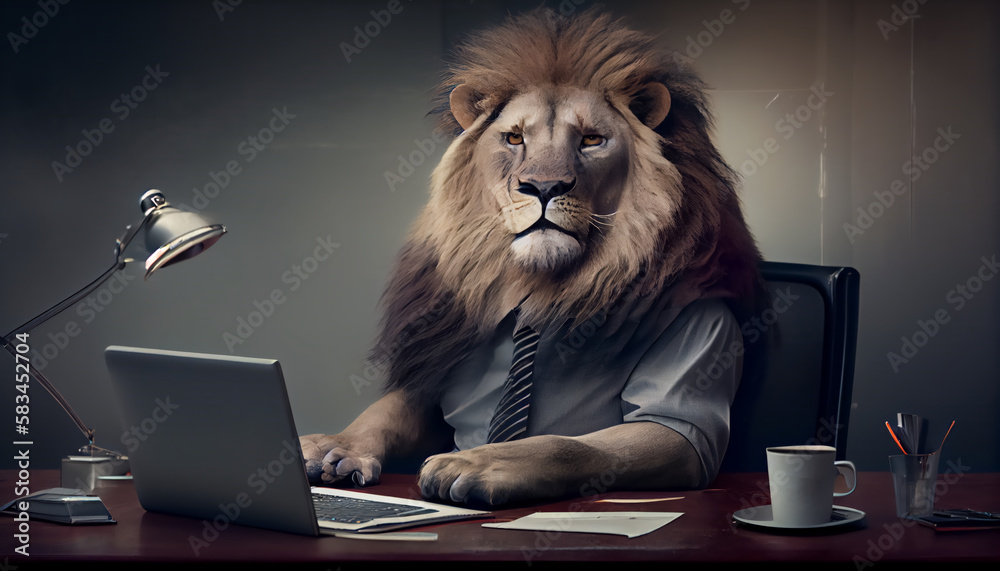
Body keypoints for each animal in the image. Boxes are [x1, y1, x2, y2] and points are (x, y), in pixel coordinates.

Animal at [301, 8, 763, 507]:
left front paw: (482, 462)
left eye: (592, 140)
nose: (542, 187)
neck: (540, 283)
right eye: (514, 138)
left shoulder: (686, 394)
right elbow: (390, 412)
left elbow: (569, 444)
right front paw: (333, 445)